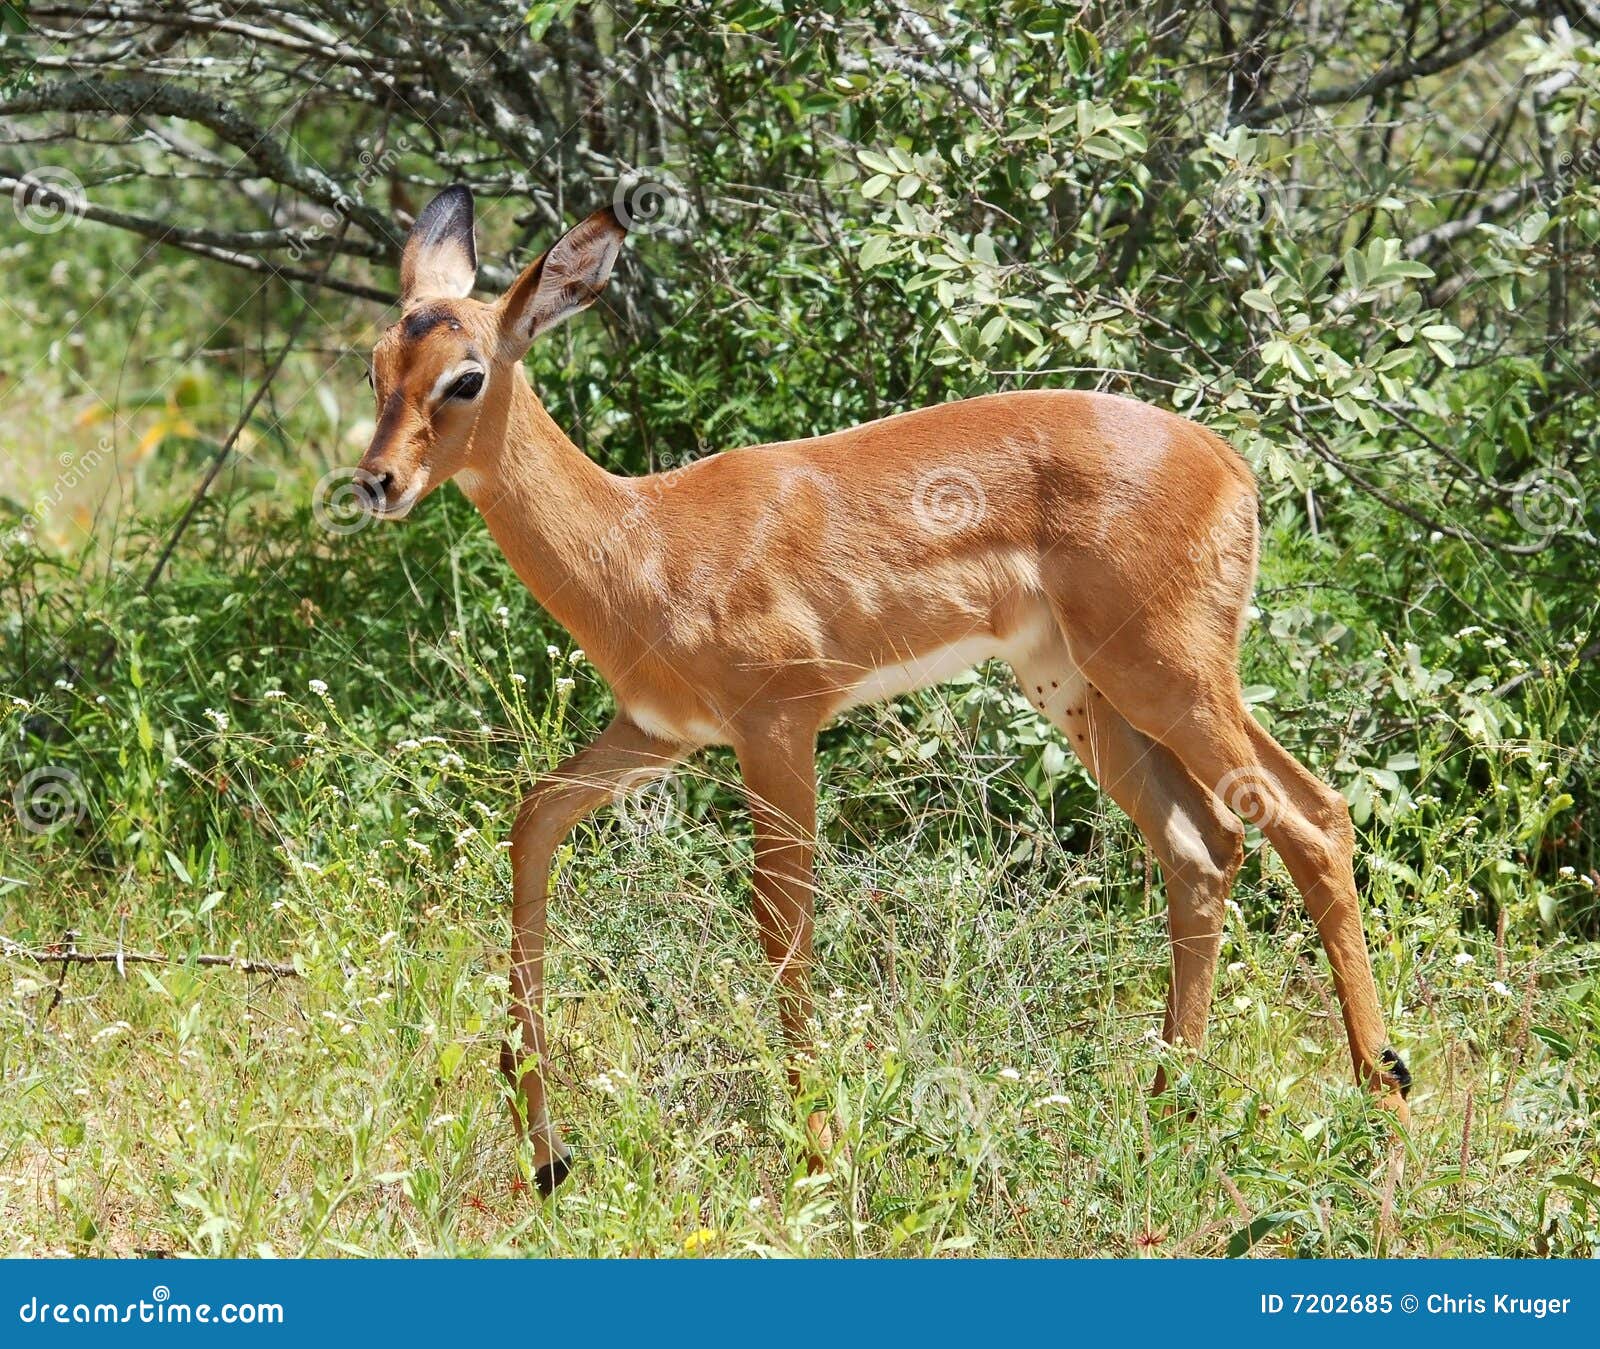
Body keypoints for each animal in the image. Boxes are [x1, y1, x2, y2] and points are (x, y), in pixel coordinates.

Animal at [356, 185, 1411, 1196]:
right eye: (377, 366)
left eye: (467, 375)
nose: (377, 481)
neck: (643, 537)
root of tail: (1231, 463)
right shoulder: (657, 733)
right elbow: (532, 820)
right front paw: (545, 1151)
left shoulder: (778, 725)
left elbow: (782, 920)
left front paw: (817, 1156)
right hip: (1087, 693)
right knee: (1205, 846)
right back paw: (1165, 1114)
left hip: (1171, 675)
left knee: (1314, 819)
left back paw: (1386, 1109)